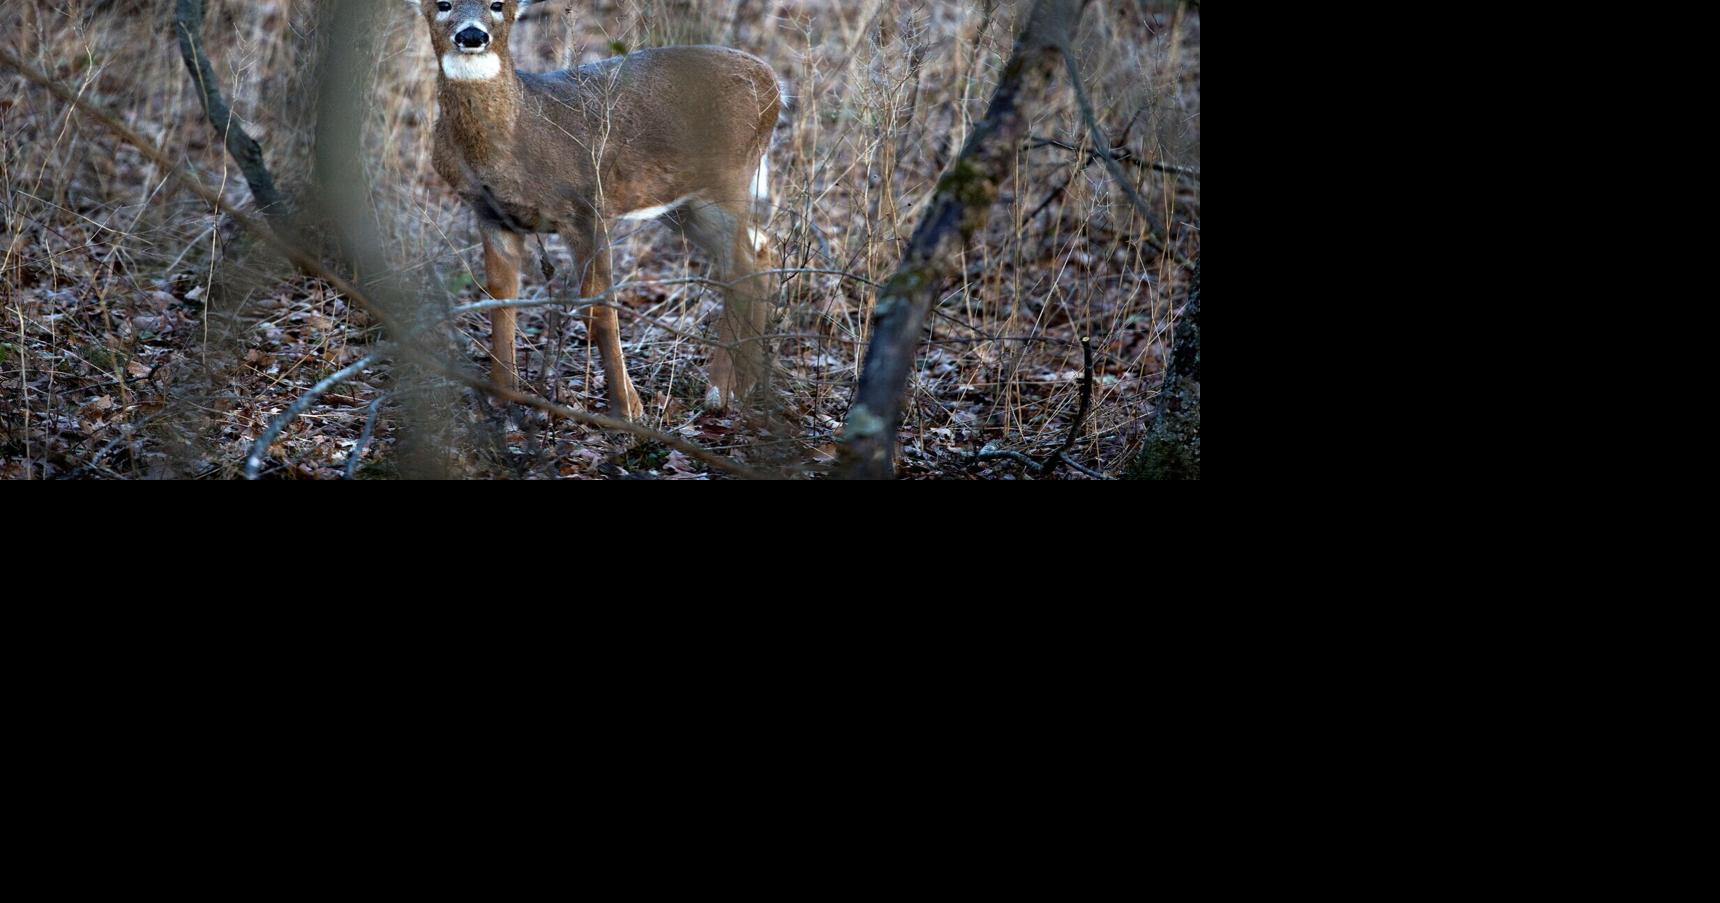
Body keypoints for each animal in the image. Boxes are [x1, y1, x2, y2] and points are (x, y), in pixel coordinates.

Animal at [407, 0, 783, 419]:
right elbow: (500, 300)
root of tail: (771, 79)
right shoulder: (492, 215)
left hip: (726, 181)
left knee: (740, 265)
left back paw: (720, 391)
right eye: (443, 4)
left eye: (497, 5)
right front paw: (501, 397)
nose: (472, 35)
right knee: (760, 248)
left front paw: (628, 408)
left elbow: (599, 308)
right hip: (683, 203)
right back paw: (746, 384)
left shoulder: (586, 208)